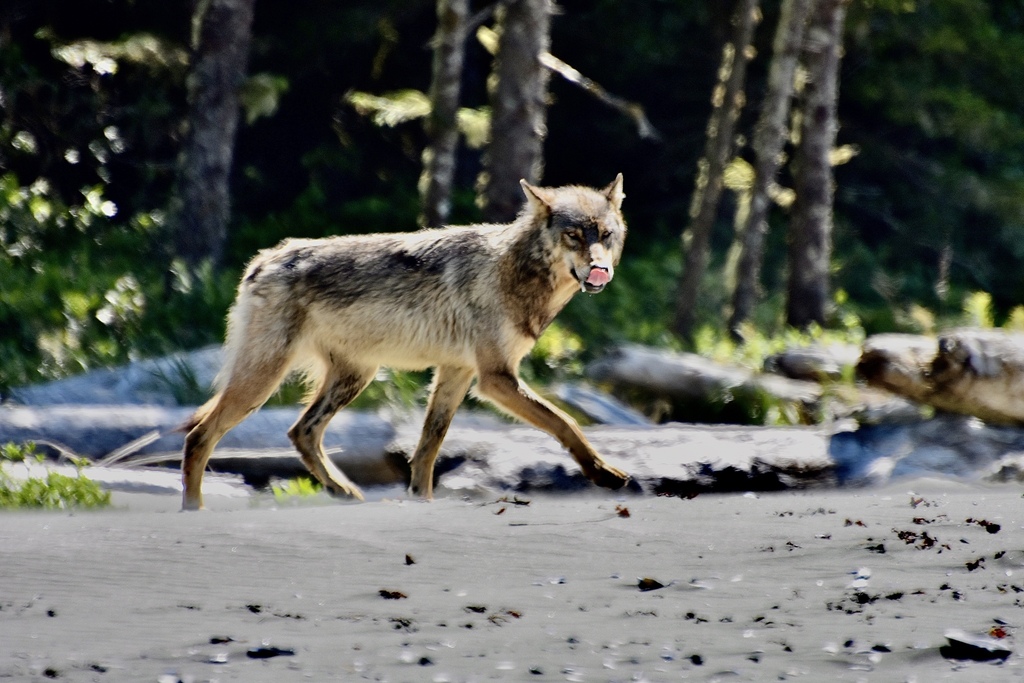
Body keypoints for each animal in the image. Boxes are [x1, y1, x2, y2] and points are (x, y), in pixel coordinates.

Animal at [180, 175, 629, 510]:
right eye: (573, 235)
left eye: (605, 235)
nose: (601, 270)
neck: (514, 272)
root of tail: (263, 259)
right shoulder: (495, 379)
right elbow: (566, 421)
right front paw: (604, 474)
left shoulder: (457, 373)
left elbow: (428, 449)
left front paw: (420, 500)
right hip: (266, 381)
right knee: (200, 435)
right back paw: (194, 508)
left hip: (354, 377)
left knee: (300, 432)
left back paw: (344, 492)